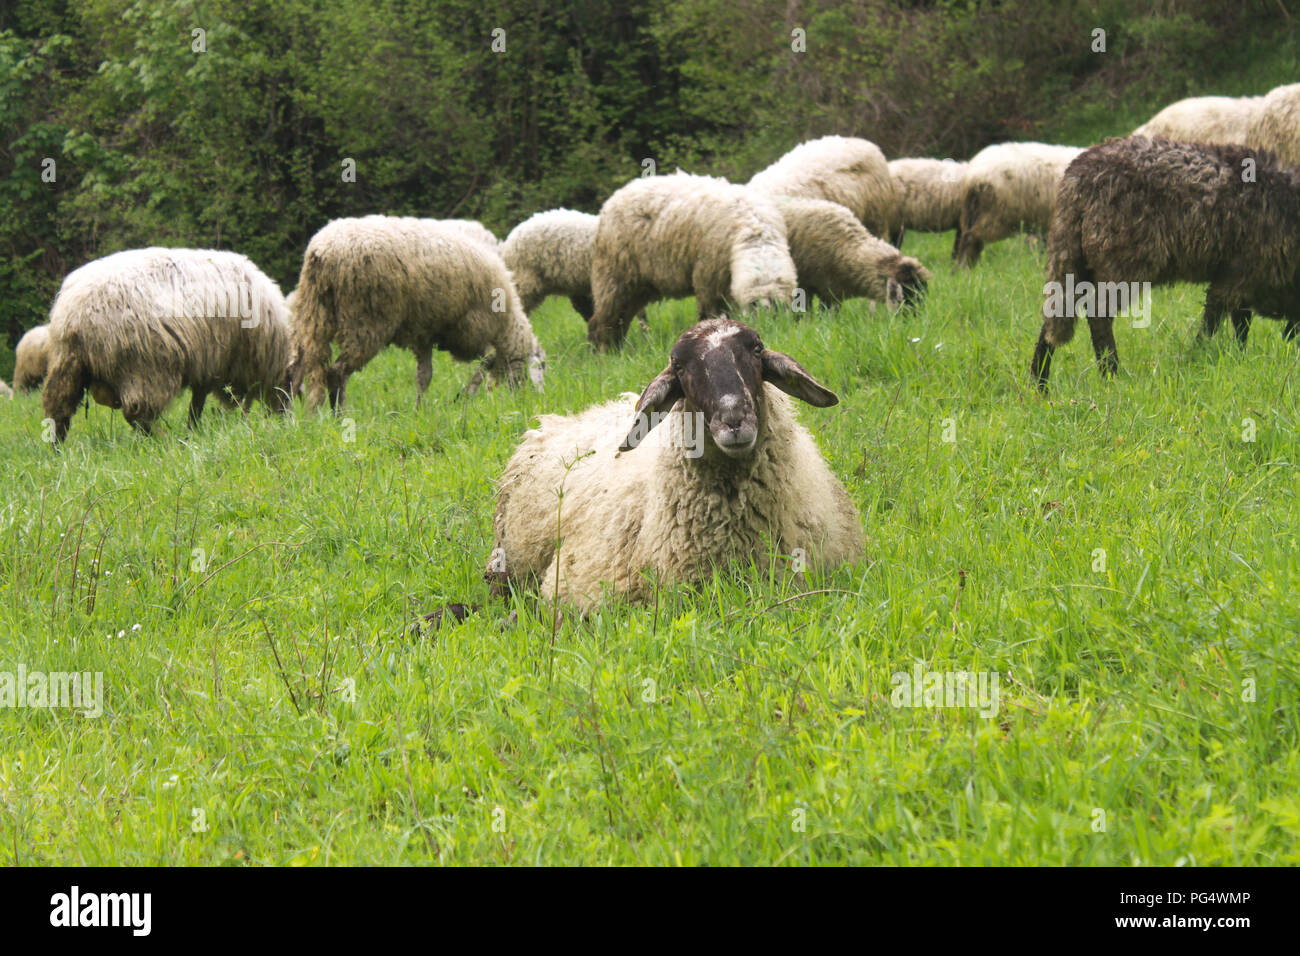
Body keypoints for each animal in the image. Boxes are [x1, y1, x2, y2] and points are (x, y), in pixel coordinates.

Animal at [42, 247, 294, 443]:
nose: (288, 420)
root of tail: (76, 312)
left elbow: (199, 400)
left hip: (67, 364)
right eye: (291, 385)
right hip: (146, 367)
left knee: (58, 411)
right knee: (137, 414)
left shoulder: (208, 361)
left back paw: (57, 450)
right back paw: (166, 440)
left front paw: (194, 428)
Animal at [289, 215, 545, 410]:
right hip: (366, 321)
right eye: (541, 366)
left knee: (297, 370)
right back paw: (338, 415)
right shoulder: (470, 329)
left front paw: (419, 410)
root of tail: (322, 250)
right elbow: (487, 360)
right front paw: (463, 397)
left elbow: (424, 376)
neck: (507, 325)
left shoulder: (426, 335)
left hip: (313, 312)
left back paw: (295, 420)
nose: (529, 400)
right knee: (337, 371)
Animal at [586, 173, 797, 351]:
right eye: (754, 305)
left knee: (620, 320)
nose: (766, 326)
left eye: (777, 308)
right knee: (603, 321)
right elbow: (711, 314)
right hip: (614, 276)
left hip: (638, 285)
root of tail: (615, 197)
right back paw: (606, 353)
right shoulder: (709, 278)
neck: (754, 231)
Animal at [1030, 136, 1300, 390]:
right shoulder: (1239, 276)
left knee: (1056, 315)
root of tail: (1079, 175)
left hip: (1075, 257)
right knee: (1098, 314)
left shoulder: (1243, 280)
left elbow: (1240, 325)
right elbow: (1213, 324)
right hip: (1123, 262)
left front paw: (1238, 359)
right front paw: (1197, 360)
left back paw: (1039, 385)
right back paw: (1111, 376)